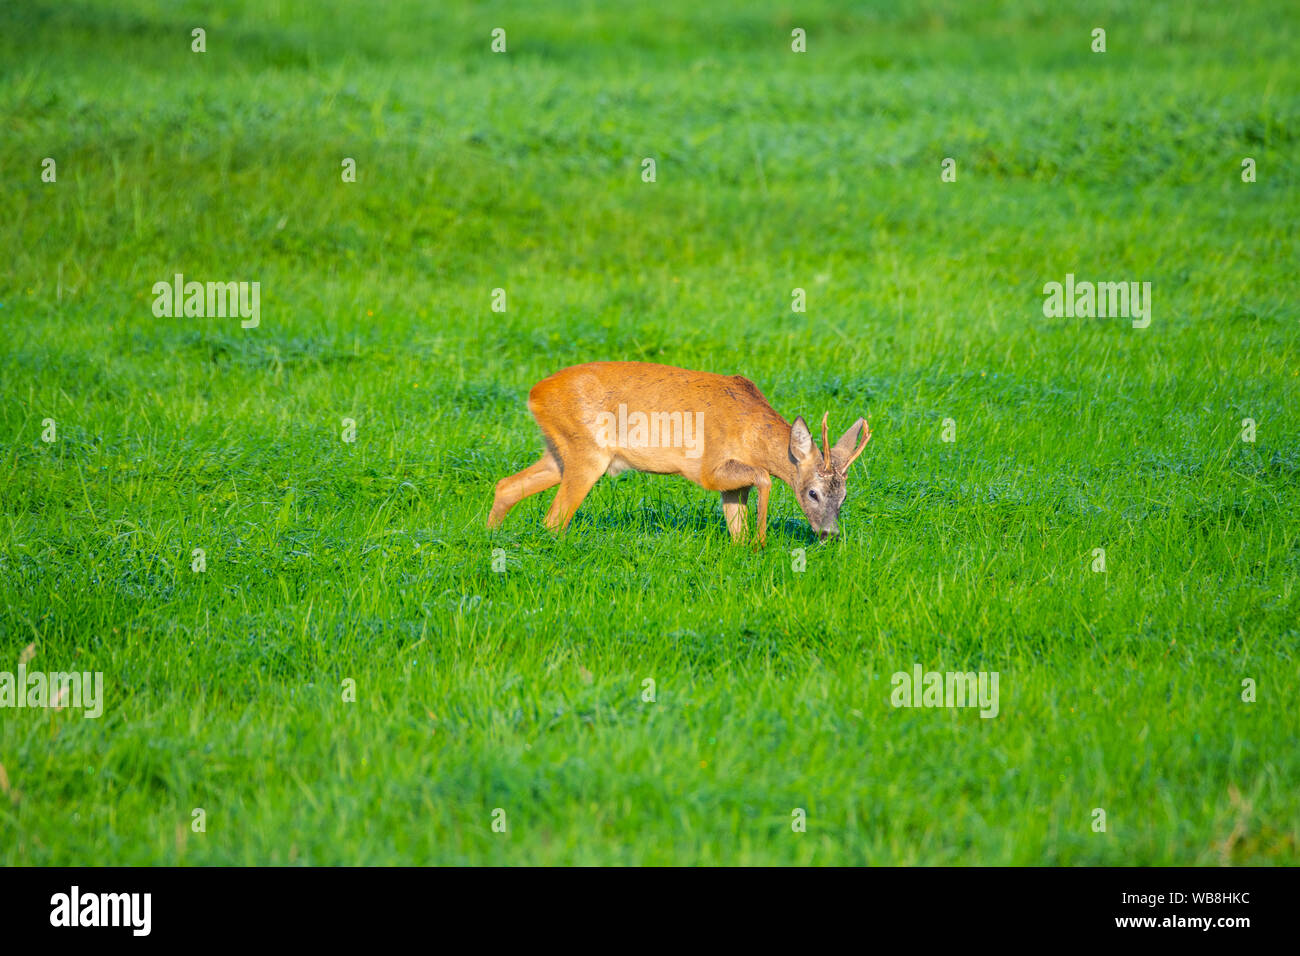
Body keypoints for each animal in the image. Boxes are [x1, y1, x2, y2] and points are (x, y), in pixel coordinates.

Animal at [487, 362, 872, 544]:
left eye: (844, 496)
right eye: (813, 492)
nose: (830, 534)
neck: (751, 434)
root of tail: (535, 393)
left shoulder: (733, 486)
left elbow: (736, 526)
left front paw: (748, 545)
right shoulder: (708, 468)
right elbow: (764, 477)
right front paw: (762, 541)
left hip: (560, 451)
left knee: (506, 485)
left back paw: (490, 535)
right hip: (587, 453)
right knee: (554, 519)